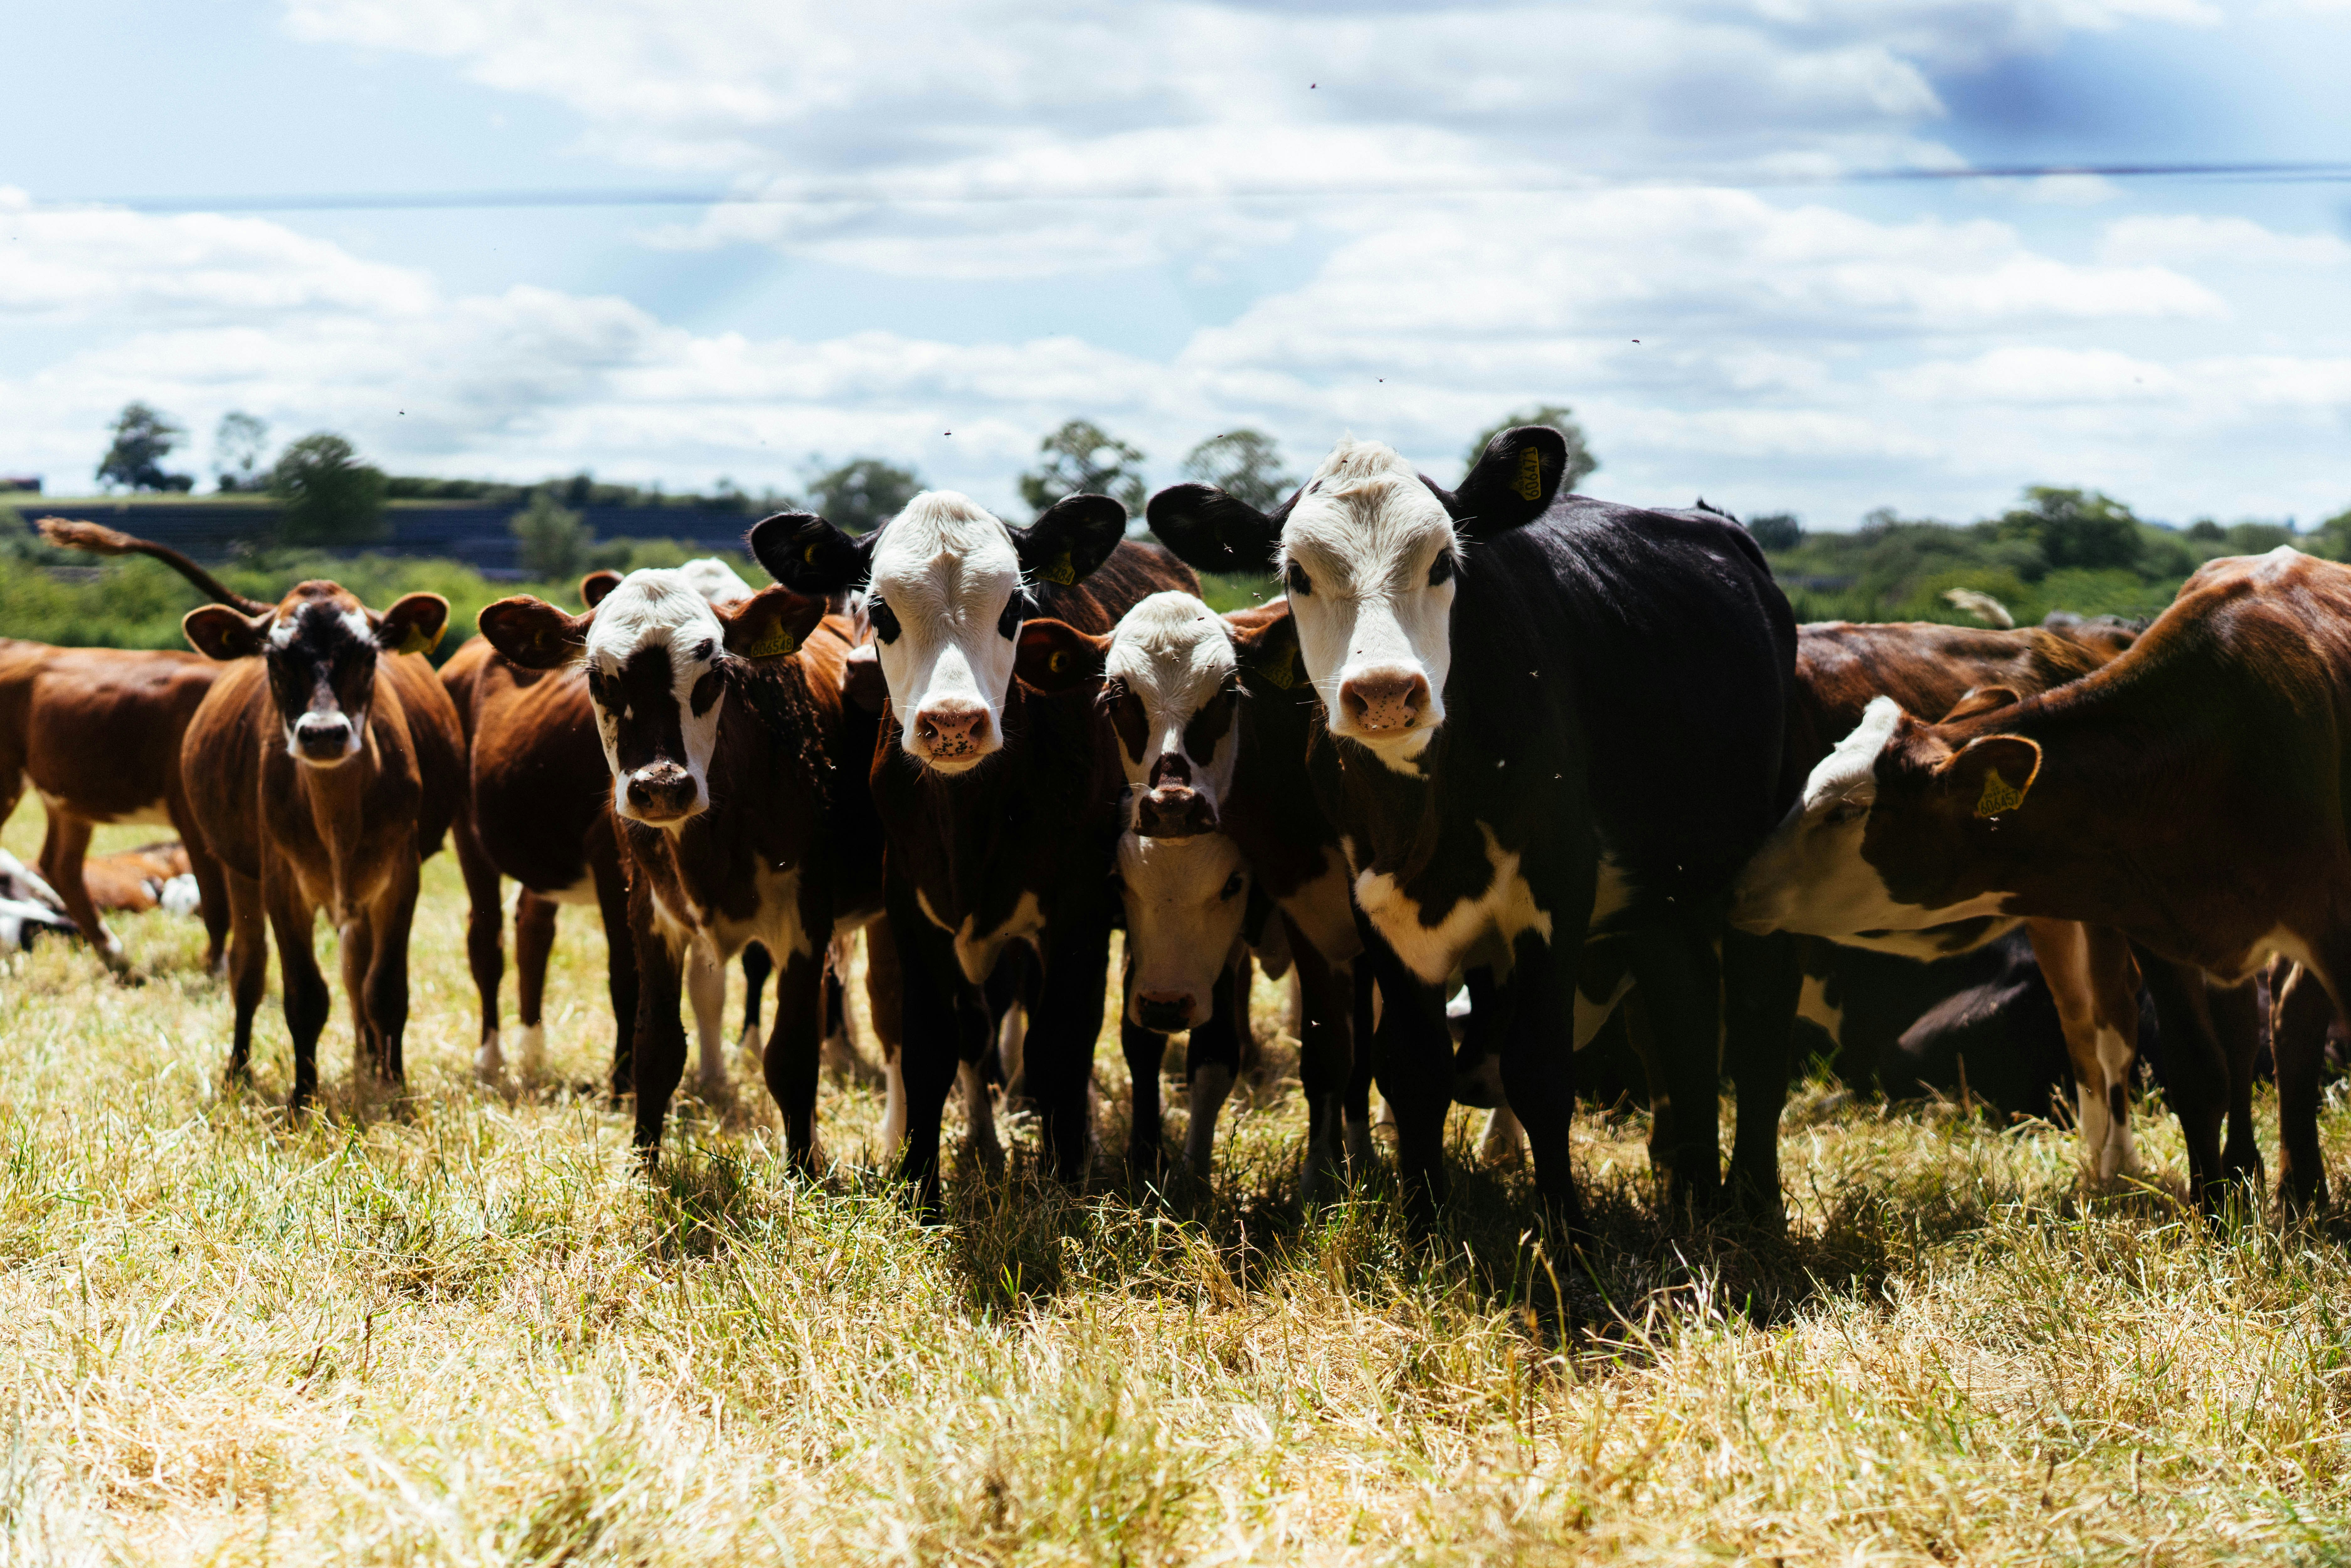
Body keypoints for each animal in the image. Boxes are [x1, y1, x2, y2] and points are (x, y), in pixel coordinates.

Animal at [0, 625, 231, 972]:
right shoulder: (191, 817)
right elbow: (219, 904)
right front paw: (216, 969)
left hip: (67, 799)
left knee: (60, 865)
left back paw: (114, 955)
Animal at [40, 519, 466, 1105]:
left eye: (367, 655)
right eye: (275, 659)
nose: (323, 734)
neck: (337, 814)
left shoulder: (401, 877)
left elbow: (385, 990)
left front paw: (393, 1087)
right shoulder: (280, 880)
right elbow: (304, 995)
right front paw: (304, 1099)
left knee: (355, 972)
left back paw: (366, 1059)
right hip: (239, 871)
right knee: (248, 972)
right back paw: (238, 1070)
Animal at [476, 565, 883, 1168]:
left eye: (715, 674)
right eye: (599, 679)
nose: (663, 787)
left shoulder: (805, 922)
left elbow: (790, 1057)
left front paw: (803, 1170)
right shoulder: (651, 913)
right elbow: (657, 1048)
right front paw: (645, 1164)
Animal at [750, 491, 1193, 1213]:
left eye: (1014, 608)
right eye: (880, 610)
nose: (953, 723)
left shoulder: (1077, 913)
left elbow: (1059, 1046)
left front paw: (1062, 1182)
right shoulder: (912, 908)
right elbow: (932, 1048)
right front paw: (921, 1190)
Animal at [1146, 431, 1801, 1234]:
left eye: (1442, 563)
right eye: (1296, 573)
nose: (1385, 692)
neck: (1429, 817)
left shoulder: (1556, 894)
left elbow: (1540, 1072)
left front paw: (1565, 1236)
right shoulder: (1375, 906)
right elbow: (1411, 1067)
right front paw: (1422, 1226)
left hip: (1758, 872)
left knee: (1757, 1017)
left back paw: (1751, 1200)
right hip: (1665, 898)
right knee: (1683, 1021)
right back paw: (1694, 1190)